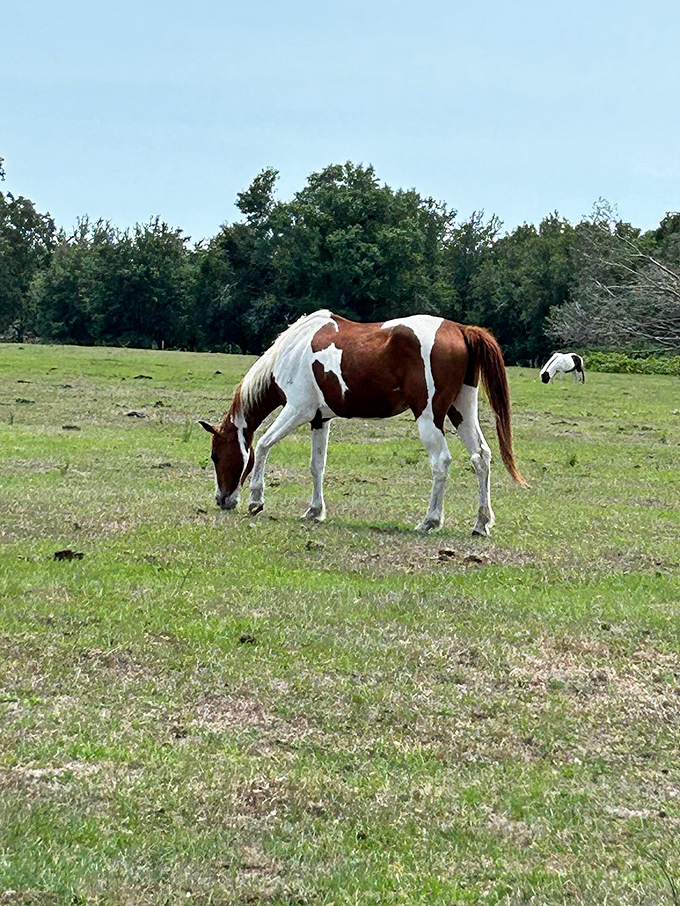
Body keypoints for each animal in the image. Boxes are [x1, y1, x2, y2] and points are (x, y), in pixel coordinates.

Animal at [200, 310, 526, 536]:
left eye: (215, 456)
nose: (222, 500)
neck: (292, 352)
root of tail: (460, 329)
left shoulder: (297, 410)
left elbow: (264, 445)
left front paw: (256, 500)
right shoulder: (320, 420)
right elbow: (317, 466)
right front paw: (314, 511)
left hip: (429, 416)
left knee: (441, 462)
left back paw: (430, 521)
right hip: (461, 410)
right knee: (481, 457)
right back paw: (481, 523)